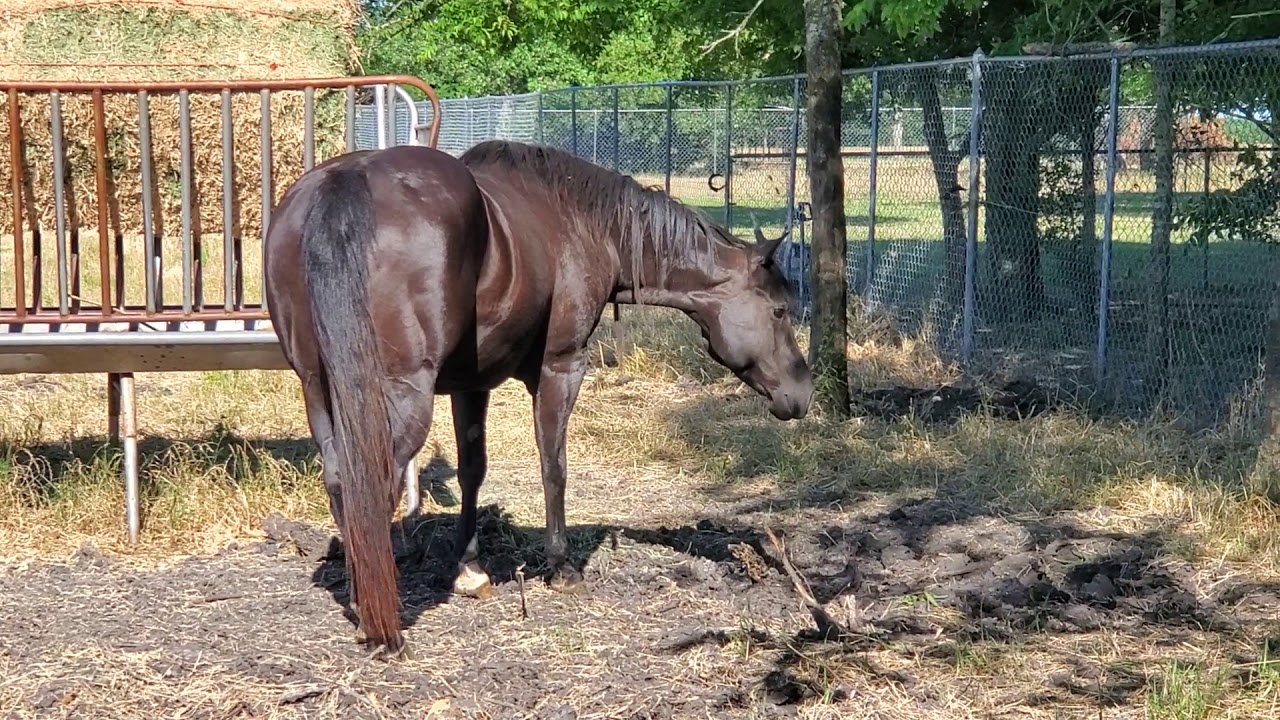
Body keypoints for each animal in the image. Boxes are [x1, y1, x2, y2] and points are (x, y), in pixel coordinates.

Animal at [263, 139, 815, 658]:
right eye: (781, 310)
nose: (803, 393)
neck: (581, 224)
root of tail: (345, 181)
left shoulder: (470, 384)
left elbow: (472, 471)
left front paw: (469, 568)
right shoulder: (561, 367)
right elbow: (554, 465)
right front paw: (562, 565)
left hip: (318, 390)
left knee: (340, 479)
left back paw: (361, 597)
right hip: (400, 397)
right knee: (373, 484)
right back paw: (383, 623)